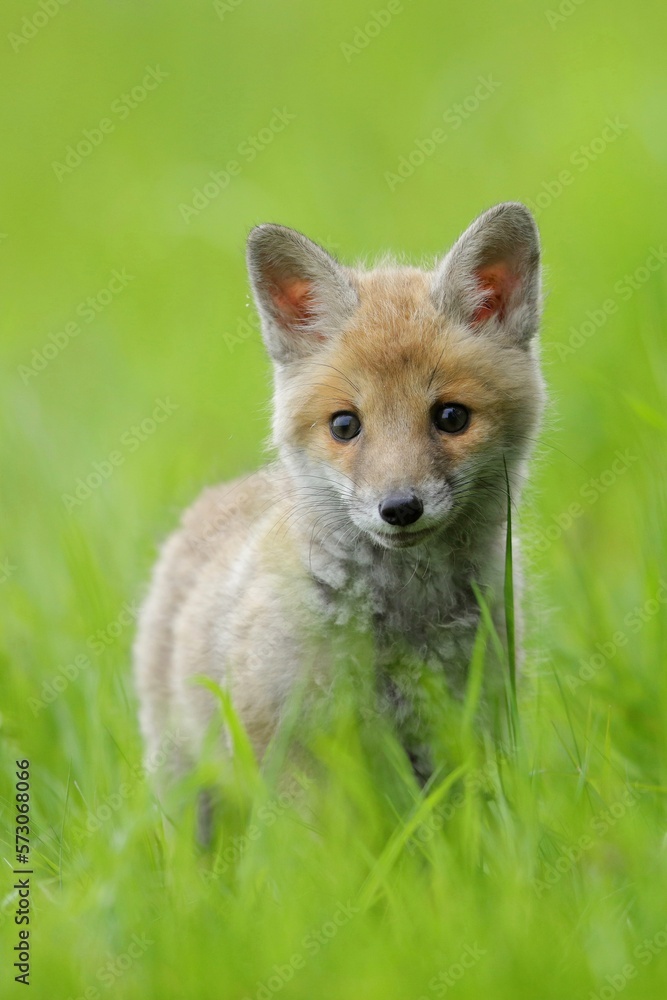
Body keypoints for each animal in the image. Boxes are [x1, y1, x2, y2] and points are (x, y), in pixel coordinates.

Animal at [134, 202, 545, 790]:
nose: (399, 509)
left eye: (451, 417)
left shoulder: (464, 725)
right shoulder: (284, 741)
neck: (404, 621)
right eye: (345, 425)